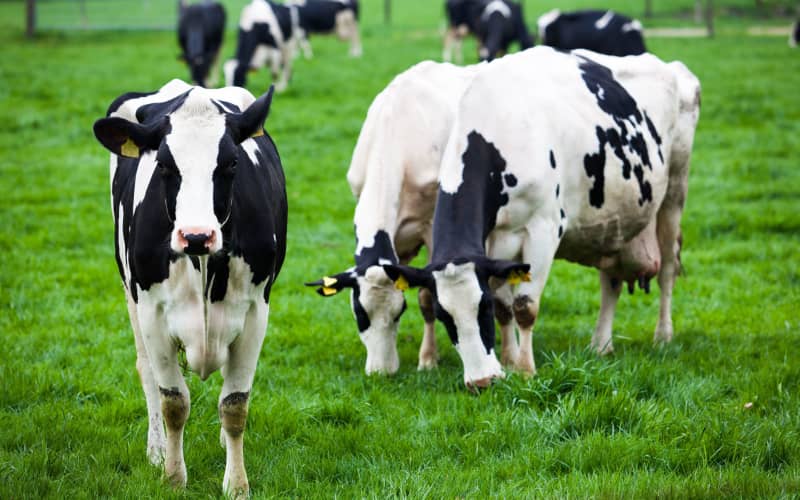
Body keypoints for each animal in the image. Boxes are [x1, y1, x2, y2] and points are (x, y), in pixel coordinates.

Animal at [92, 78, 287, 496]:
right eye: (165, 165)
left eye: (231, 163)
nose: (196, 235)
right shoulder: (152, 312)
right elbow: (174, 402)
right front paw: (172, 476)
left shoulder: (255, 312)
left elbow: (234, 404)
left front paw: (236, 484)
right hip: (130, 295)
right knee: (146, 371)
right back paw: (155, 449)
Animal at [306, 61, 479, 375]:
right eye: (360, 313)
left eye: (400, 312)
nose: (381, 371)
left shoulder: (431, 228)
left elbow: (426, 296)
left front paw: (428, 358)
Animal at [382, 47, 701, 388]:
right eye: (444, 315)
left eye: (481, 307)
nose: (481, 382)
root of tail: (669, 66)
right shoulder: (492, 244)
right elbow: (505, 306)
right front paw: (507, 362)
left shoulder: (543, 230)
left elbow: (524, 306)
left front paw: (524, 369)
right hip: (613, 223)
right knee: (611, 282)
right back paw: (601, 344)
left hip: (675, 191)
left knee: (667, 269)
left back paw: (663, 336)